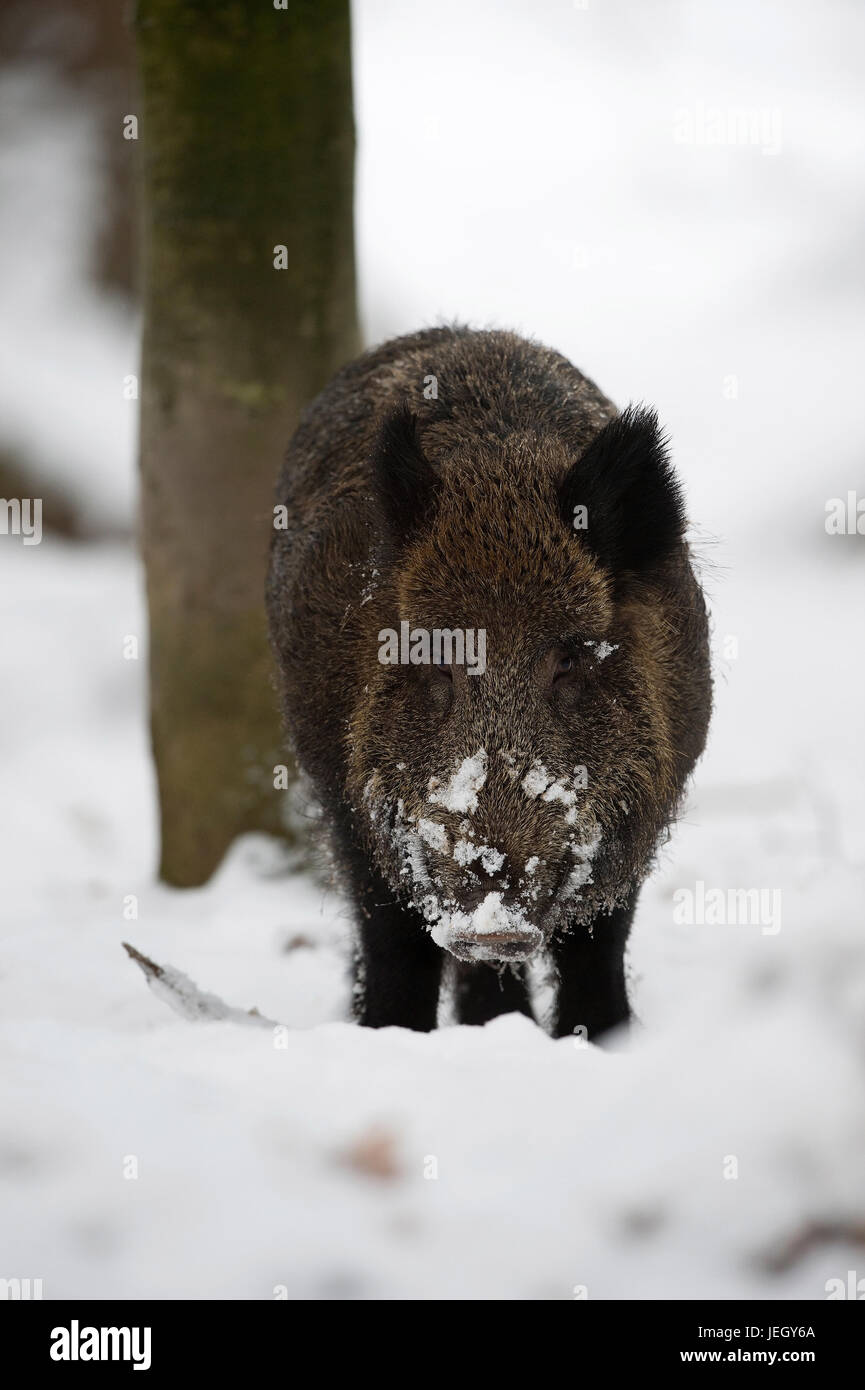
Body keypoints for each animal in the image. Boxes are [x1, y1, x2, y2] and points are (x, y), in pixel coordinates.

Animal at [267, 327, 711, 1038]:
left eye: (570, 658)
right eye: (434, 657)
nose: (494, 925)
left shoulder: (647, 805)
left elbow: (599, 947)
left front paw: (603, 1040)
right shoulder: (348, 803)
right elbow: (393, 944)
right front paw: (390, 1036)